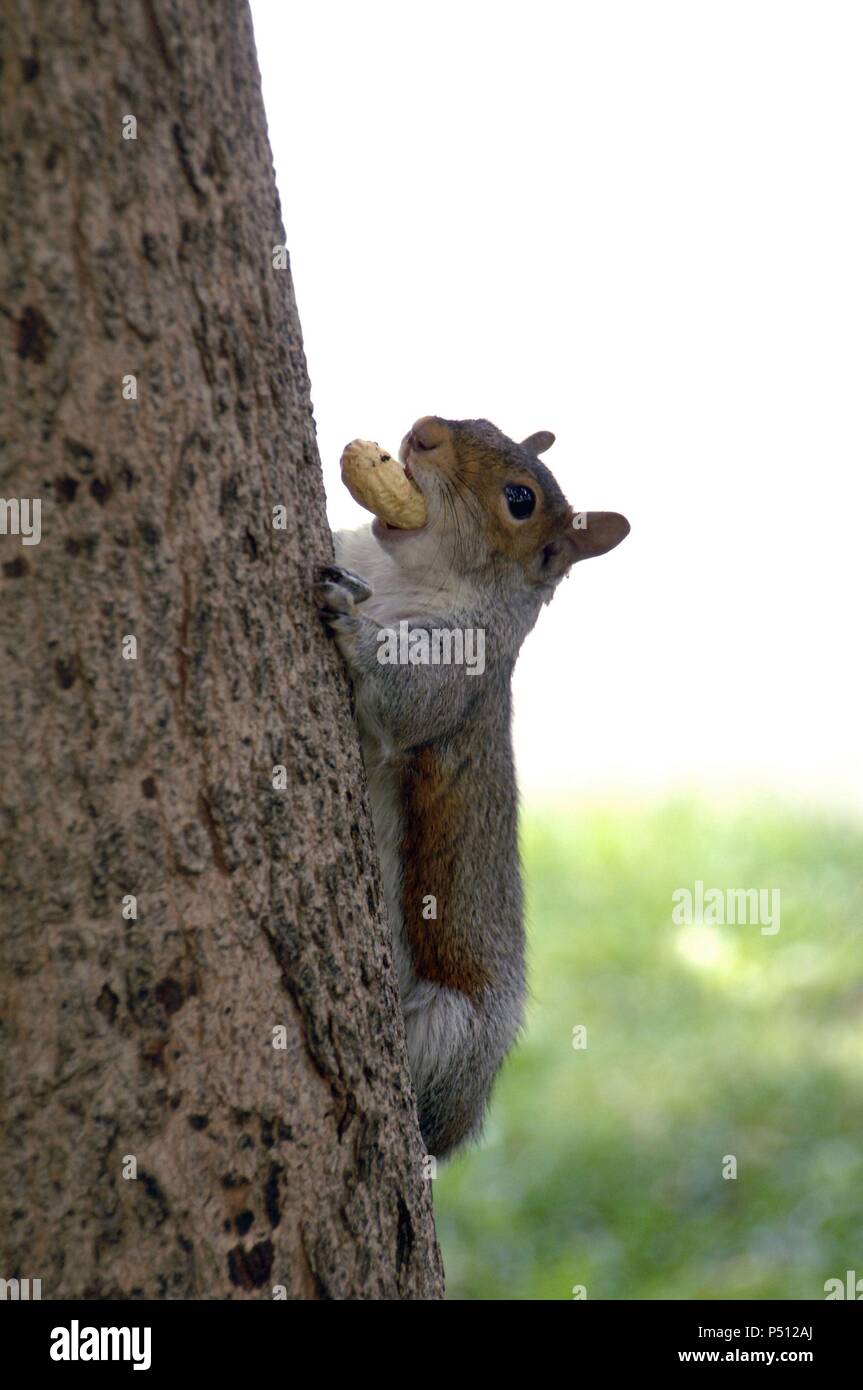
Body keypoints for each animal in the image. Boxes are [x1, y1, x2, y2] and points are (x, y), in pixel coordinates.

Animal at [315, 416, 629, 1160]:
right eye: (483, 421)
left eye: (519, 499)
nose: (424, 430)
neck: (400, 573)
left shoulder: (459, 667)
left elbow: (407, 701)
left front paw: (352, 624)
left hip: (454, 1026)